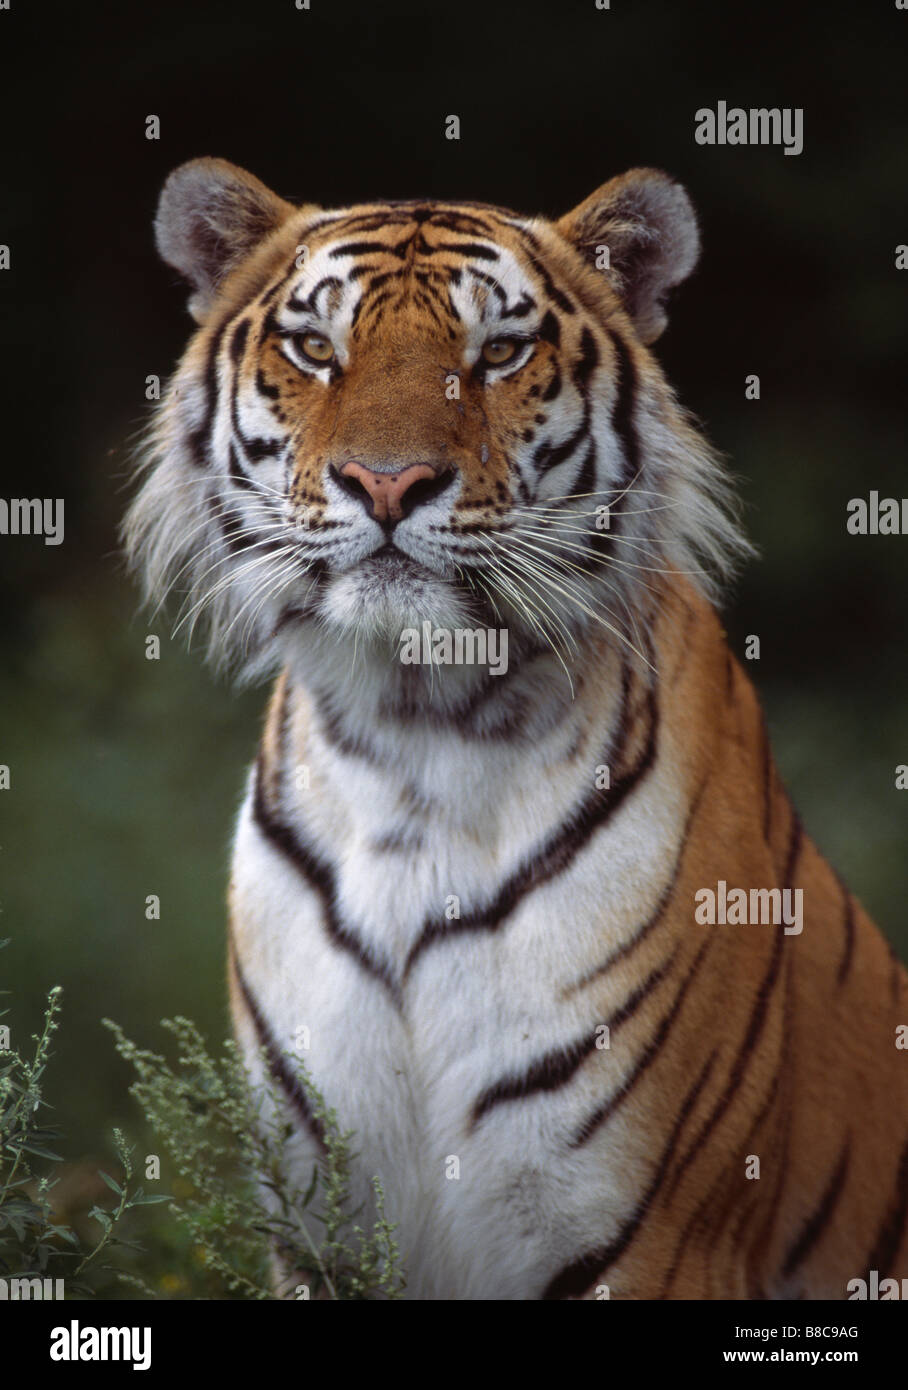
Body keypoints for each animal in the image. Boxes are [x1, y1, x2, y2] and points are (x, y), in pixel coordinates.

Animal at [124, 157, 908, 1300]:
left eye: (497, 352)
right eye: (315, 348)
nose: (388, 482)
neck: (415, 734)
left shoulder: (654, 1236)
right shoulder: (318, 1225)